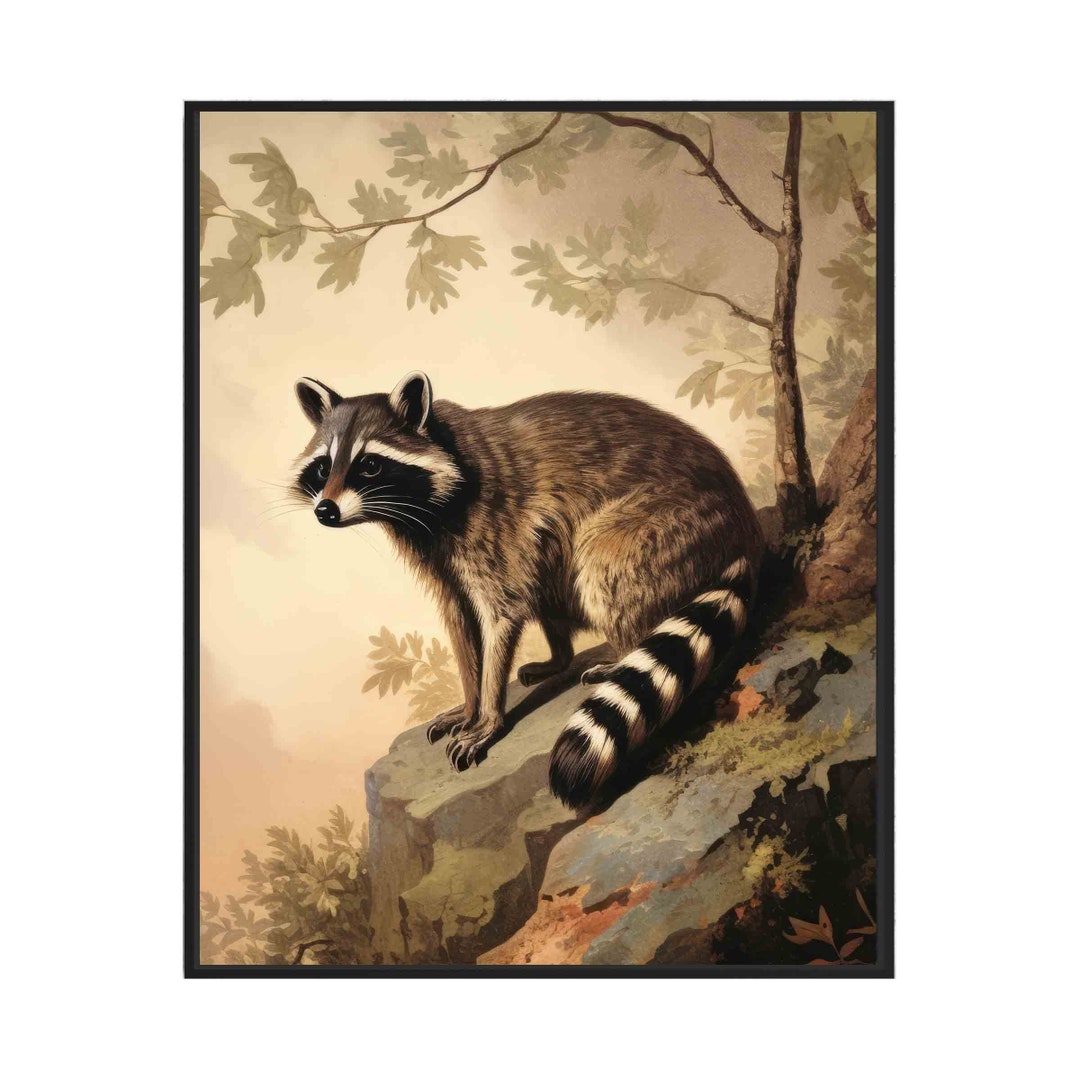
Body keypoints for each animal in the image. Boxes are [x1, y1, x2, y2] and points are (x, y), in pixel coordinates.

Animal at [290, 371, 763, 810]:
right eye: (323, 467)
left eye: (370, 464)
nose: (325, 511)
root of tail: (743, 527)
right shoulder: (440, 559)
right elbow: (459, 620)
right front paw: (469, 703)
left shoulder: (493, 523)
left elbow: (502, 612)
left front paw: (488, 717)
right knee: (551, 579)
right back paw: (560, 657)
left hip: (664, 522)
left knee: (600, 565)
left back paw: (623, 649)